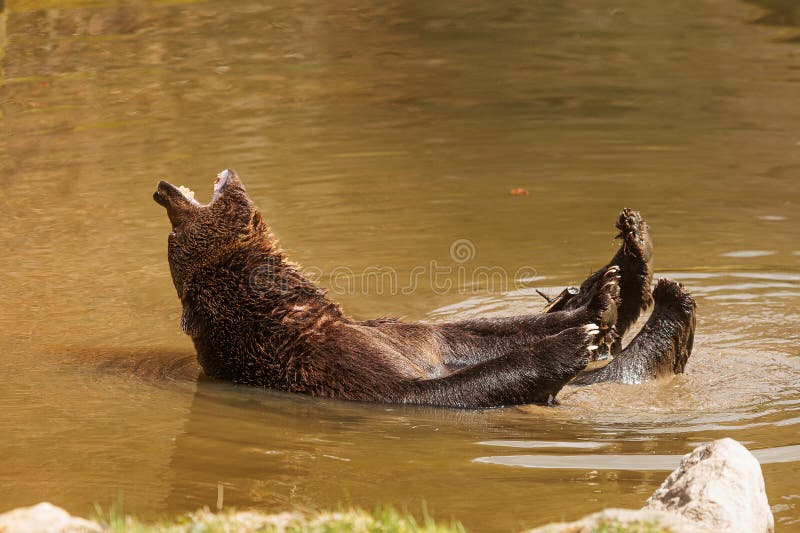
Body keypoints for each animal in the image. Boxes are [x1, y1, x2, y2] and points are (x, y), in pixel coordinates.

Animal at [153, 169, 696, 408]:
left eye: (172, 240)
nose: (159, 188)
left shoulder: (395, 337)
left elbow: (462, 335)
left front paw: (599, 304)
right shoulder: (334, 369)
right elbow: (441, 388)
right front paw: (570, 344)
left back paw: (628, 264)